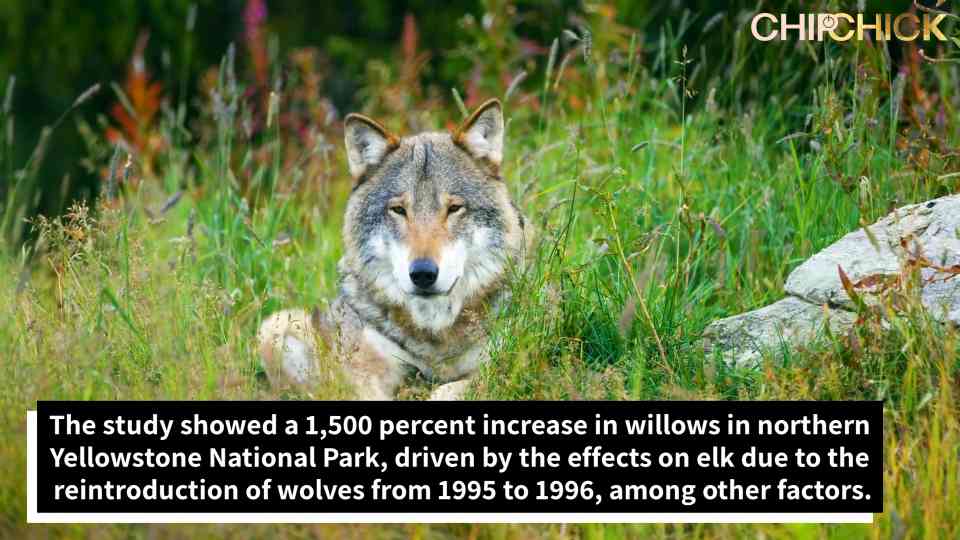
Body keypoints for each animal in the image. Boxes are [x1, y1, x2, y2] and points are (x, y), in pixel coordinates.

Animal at [257, 99, 528, 400]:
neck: (433, 334)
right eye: (399, 210)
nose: (423, 273)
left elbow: (448, 390)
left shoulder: (498, 366)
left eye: (454, 208)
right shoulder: (362, 372)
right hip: (274, 325)